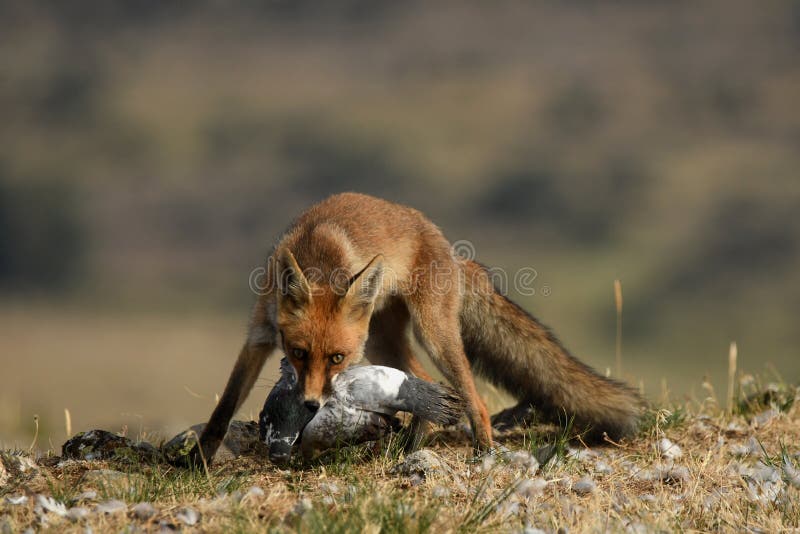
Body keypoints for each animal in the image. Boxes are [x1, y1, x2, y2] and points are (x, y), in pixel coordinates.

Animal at [195, 192, 643, 463]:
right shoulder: (258, 337)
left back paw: (482, 451)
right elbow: (224, 406)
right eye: (298, 353)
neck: (318, 254)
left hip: (433, 335)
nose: (310, 405)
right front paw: (198, 459)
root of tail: (452, 250)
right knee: (422, 380)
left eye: (337, 358)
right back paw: (412, 443)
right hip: (382, 342)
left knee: (472, 398)